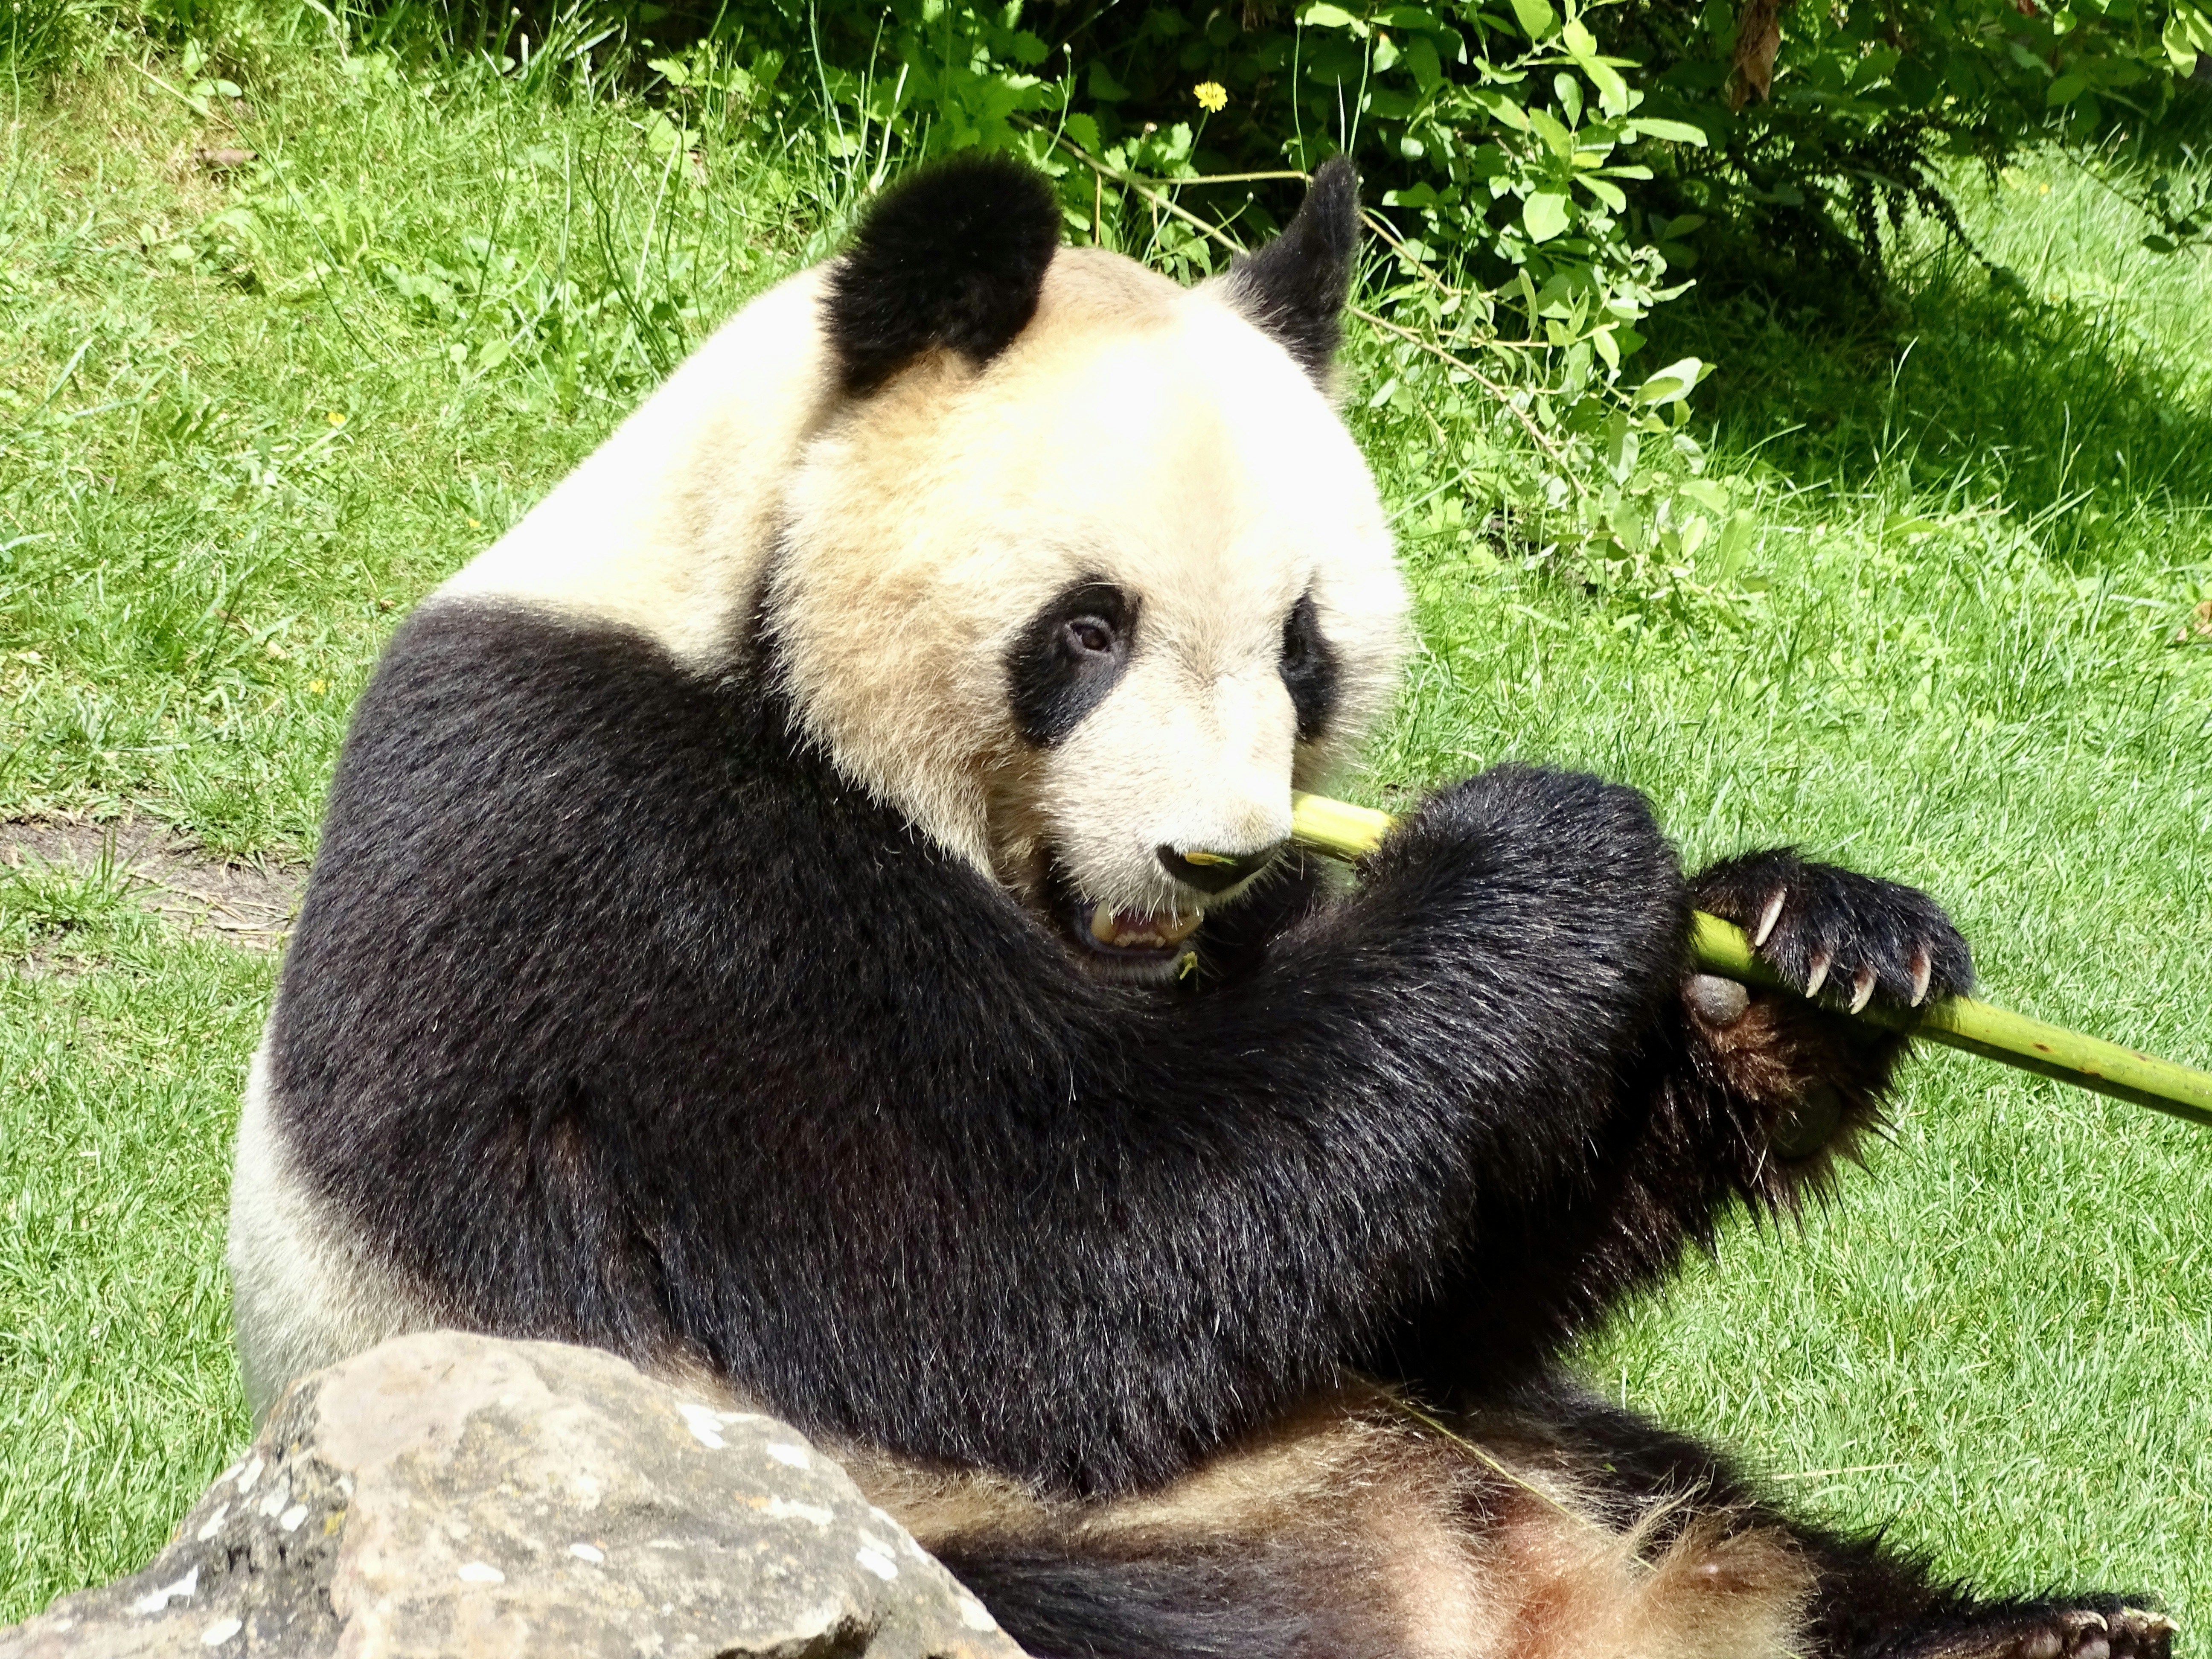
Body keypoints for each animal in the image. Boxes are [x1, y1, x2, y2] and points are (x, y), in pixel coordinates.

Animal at [227, 155, 2175, 1659]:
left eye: (1304, 648)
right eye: (1087, 630)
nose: (1213, 862)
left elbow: (1419, 1264)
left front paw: (1794, 957)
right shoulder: (618, 865)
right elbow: (1047, 1272)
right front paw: (1546, 861)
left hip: (1539, 1457)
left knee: (1675, 1476)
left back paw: (2038, 1630)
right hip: (832, 1524)